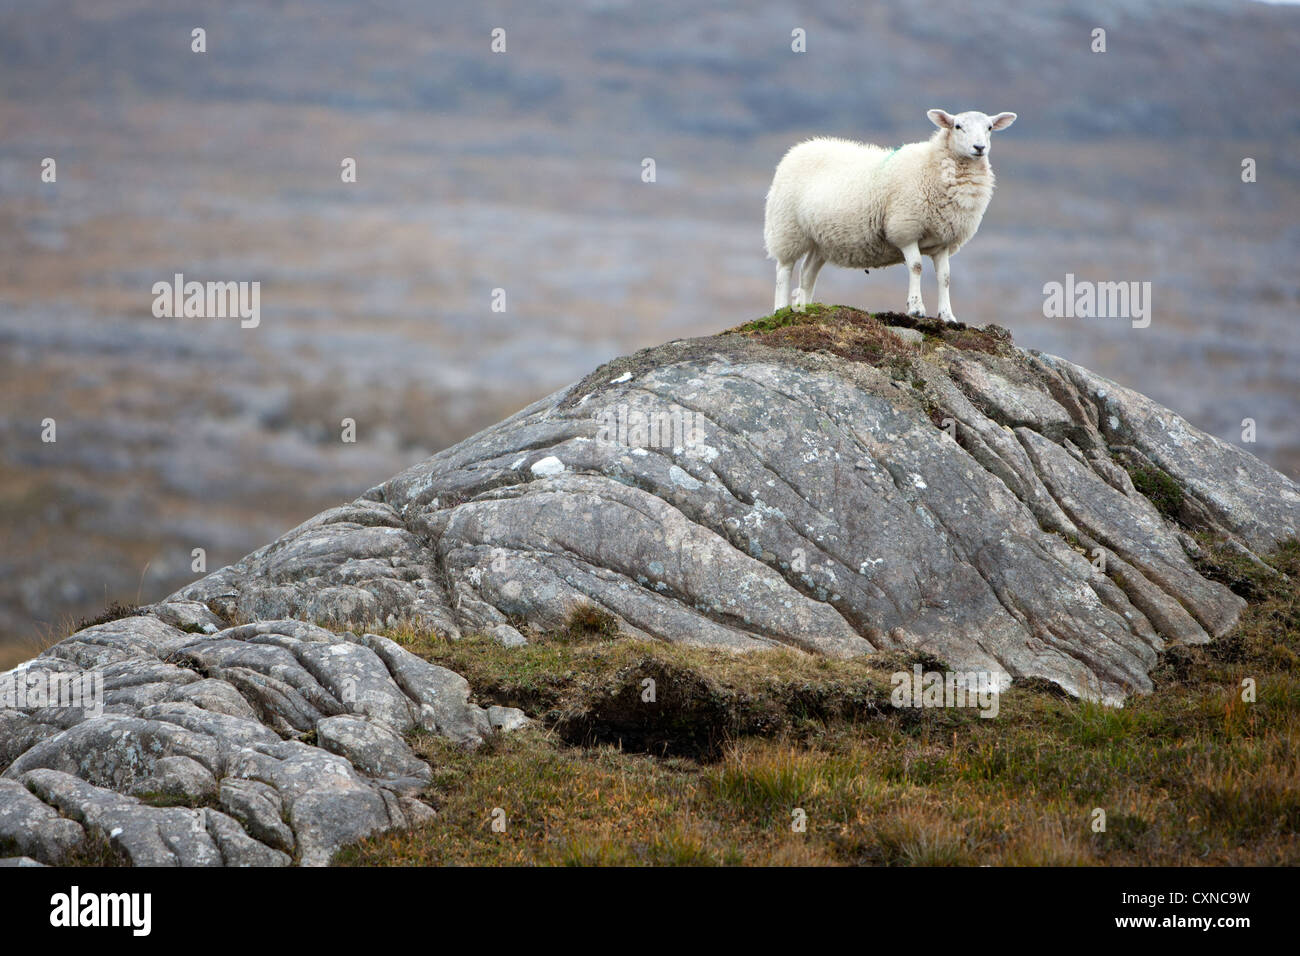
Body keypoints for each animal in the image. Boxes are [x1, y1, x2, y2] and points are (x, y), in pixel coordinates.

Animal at [763, 108, 1017, 323]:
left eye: (990, 127)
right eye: (958, 126)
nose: (979, 147)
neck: (933, 166)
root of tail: (800, 147)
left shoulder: (943, 240)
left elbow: (945, 277)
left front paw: (948, 316)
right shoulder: (905, 229)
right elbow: (916, 267)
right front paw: (916, 308)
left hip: (821, 240)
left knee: (807, 273)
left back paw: (804, 308)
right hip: (787, 229)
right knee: (784, 270)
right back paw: (780, 310)